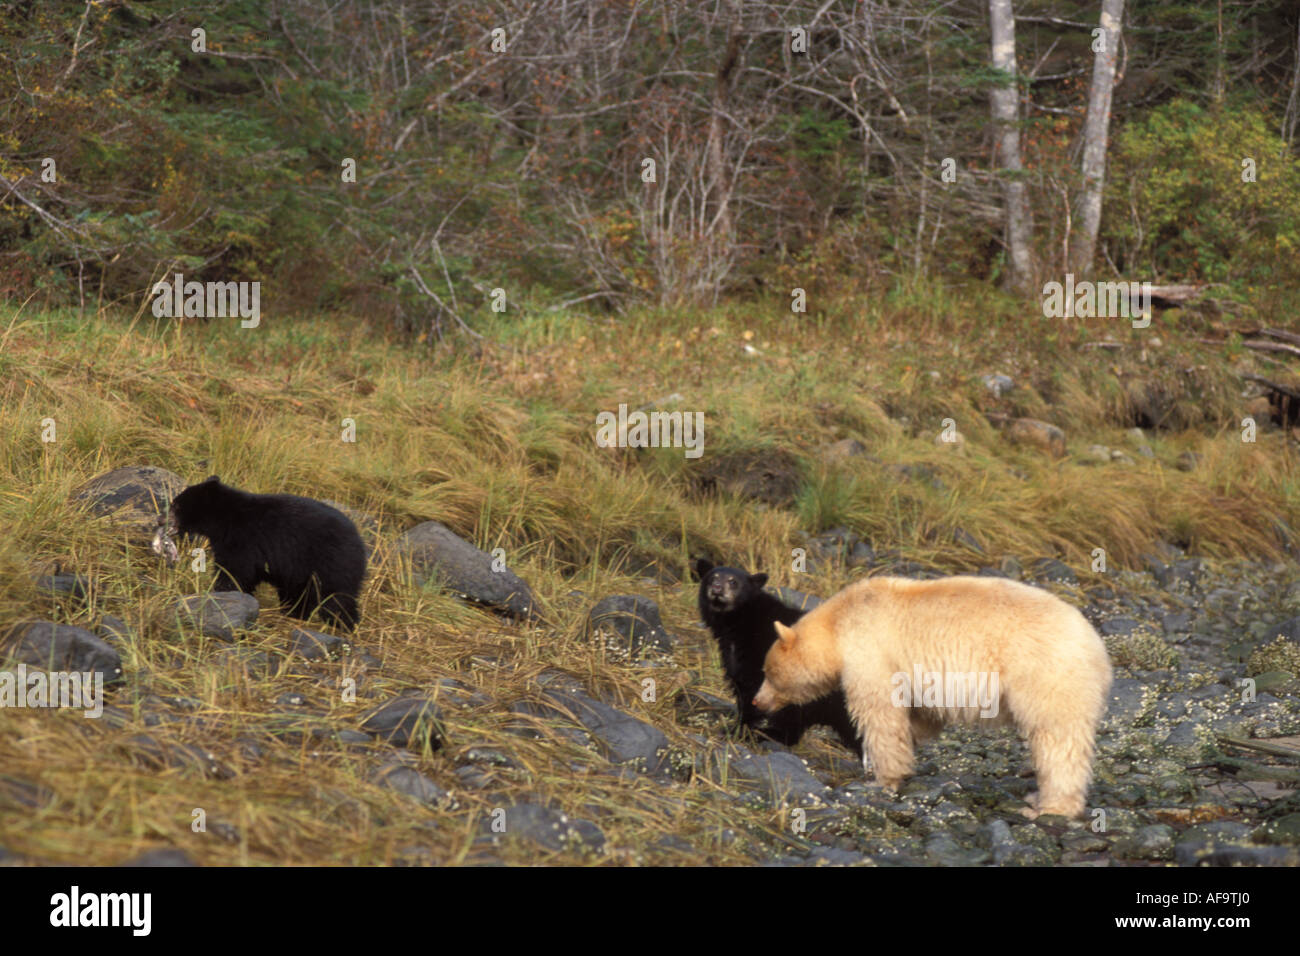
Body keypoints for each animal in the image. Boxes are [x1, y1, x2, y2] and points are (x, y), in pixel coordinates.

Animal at [155, 476, 366, 632]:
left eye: (176, 505)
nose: (159, 519)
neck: (224, 520)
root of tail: (360, 544)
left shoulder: (243, 541)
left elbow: (235, 573)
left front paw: (219, 595)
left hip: (331, 563)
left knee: (336, 599)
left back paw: (344, 625)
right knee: (300, 595)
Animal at [694, 558, 861, 755]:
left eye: (733, 581)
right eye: (712, 577)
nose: (717, 588)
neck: (739, 624)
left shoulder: (761, 655)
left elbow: (754, 690)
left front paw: (741, 731)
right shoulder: (734, 655)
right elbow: (741, 688)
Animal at [753, 574, 1112, 819]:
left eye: (768, 672)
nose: (757, 701)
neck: (840, 620)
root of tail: (1098, 650)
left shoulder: (870, 652)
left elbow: (879, 713)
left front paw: (881, 779)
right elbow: (918, 714)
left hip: (1046, 674)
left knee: (1057, 740)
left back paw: (1048, 806)